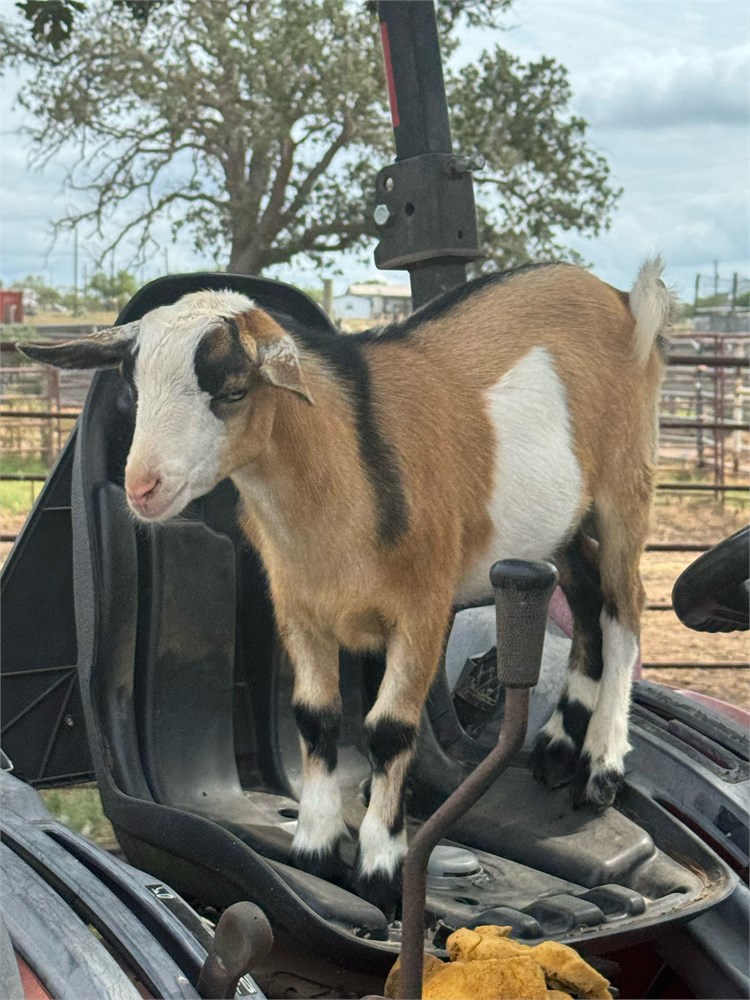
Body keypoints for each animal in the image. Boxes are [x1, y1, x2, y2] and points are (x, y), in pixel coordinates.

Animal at [19, 259, 675, 914]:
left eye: (232, 391)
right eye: (133, 388)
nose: (143, 488)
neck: (343, 472)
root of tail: (619, 298)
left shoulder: (423, 608)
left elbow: (388, 729)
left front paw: (380, 865)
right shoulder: (298, 605)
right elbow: (314, 717)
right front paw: (314, 845)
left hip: (626, 485)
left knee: (626, 611)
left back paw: (602, 766)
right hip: (560, 523)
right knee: (588, 602)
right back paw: (559, 745)